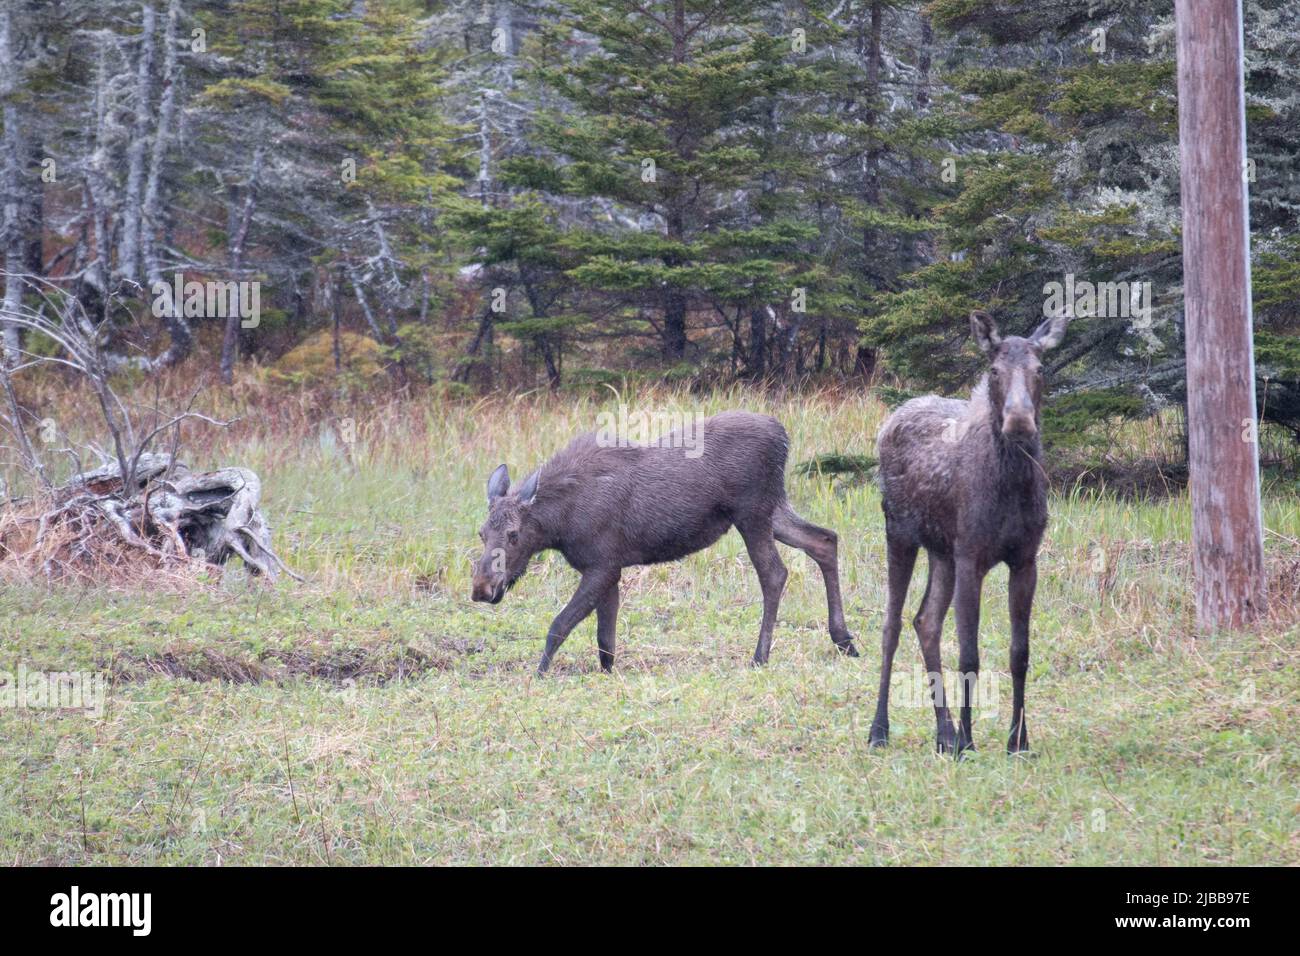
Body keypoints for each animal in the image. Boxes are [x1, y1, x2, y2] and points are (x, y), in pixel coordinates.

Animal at [470, 411, 859, 674]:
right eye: (481, 532)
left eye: (514, 534)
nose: (481, 588)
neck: (559, 524)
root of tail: (784, 437)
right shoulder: (610, 570)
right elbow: (605, 642)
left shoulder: (601, 565)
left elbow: (559, 626)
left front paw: (539, 674)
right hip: (772, 509)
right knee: (825, 539)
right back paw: (844, 641)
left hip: (752, 514)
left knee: (775, 574)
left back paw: (761, 656)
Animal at [869, 309, 1068, 756]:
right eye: (994, 370)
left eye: (1040, 369)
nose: (1018, 421)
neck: (1012, 483)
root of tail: (892, 417)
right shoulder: (971, 558)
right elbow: (970, 655)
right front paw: (968, 741)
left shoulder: (1024, 560)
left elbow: (1019, 653)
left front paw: (1017, 740)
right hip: (900, 535)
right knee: (891, 624)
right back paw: (880, 729)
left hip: (941, 552)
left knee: (925, 621)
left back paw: (942, 733)